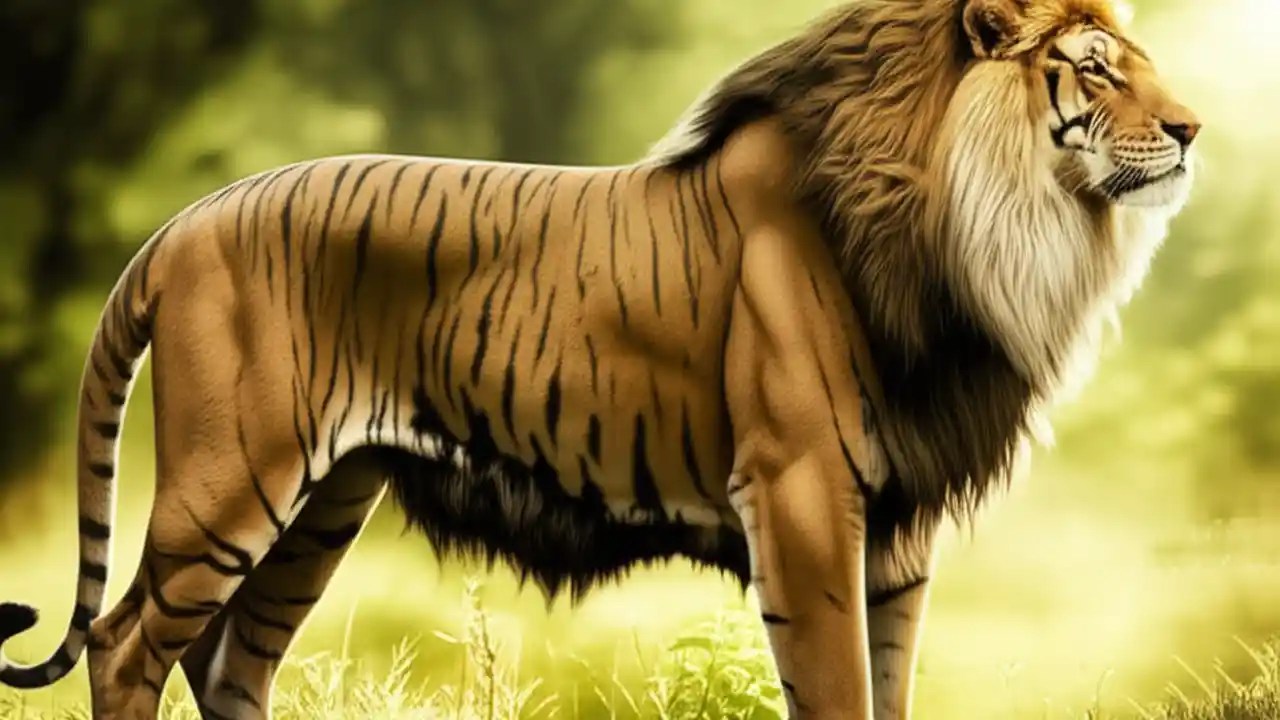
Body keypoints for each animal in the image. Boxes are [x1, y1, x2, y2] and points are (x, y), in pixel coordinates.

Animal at [0, 0, 1199, 717]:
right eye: (1094, 71)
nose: (1191, 131)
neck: (980, 232)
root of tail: (179, 225)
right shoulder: (802, 494)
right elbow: (836, 692)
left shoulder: (898, 532)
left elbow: (889, 693)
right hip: (232, 480)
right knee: (124, 642)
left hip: (325, 501)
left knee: (230, 660)